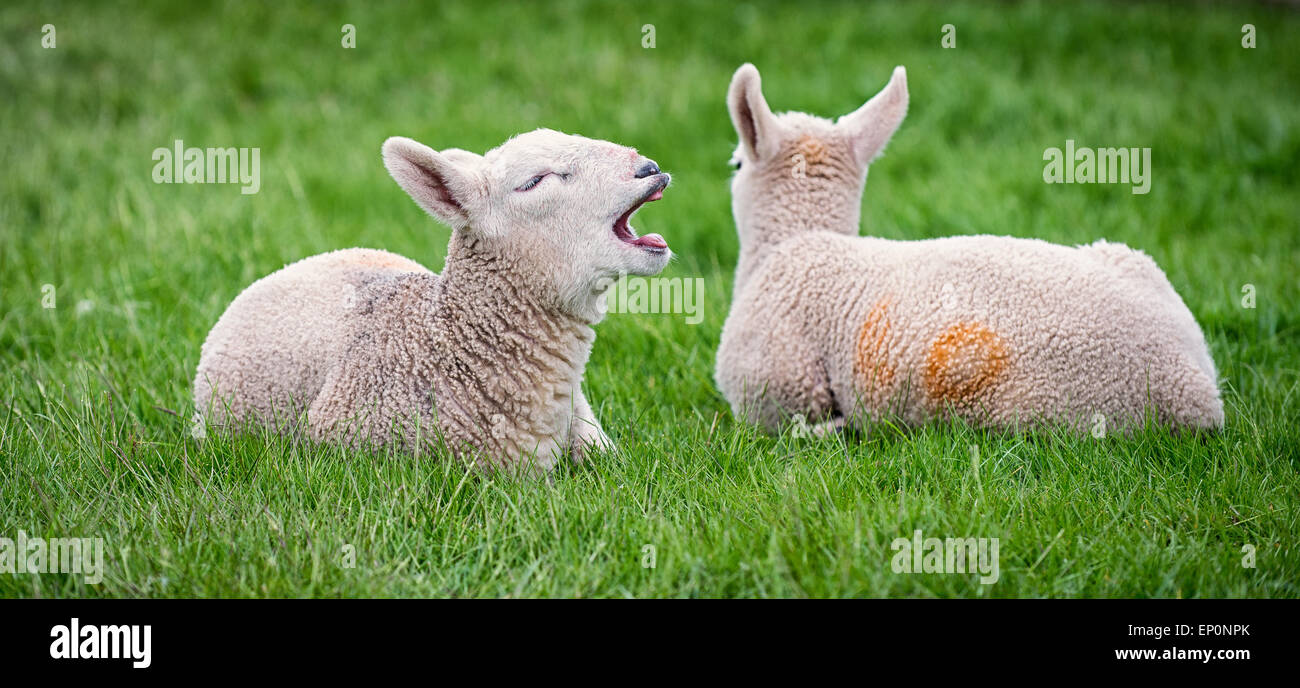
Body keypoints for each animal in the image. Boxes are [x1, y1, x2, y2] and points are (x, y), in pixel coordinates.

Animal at [714, 64, 1223, 436]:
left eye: (736, 164)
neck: (795, 239)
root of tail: (1193, 390)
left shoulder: (775, 382)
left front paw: (831, 428)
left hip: (1031, 410)